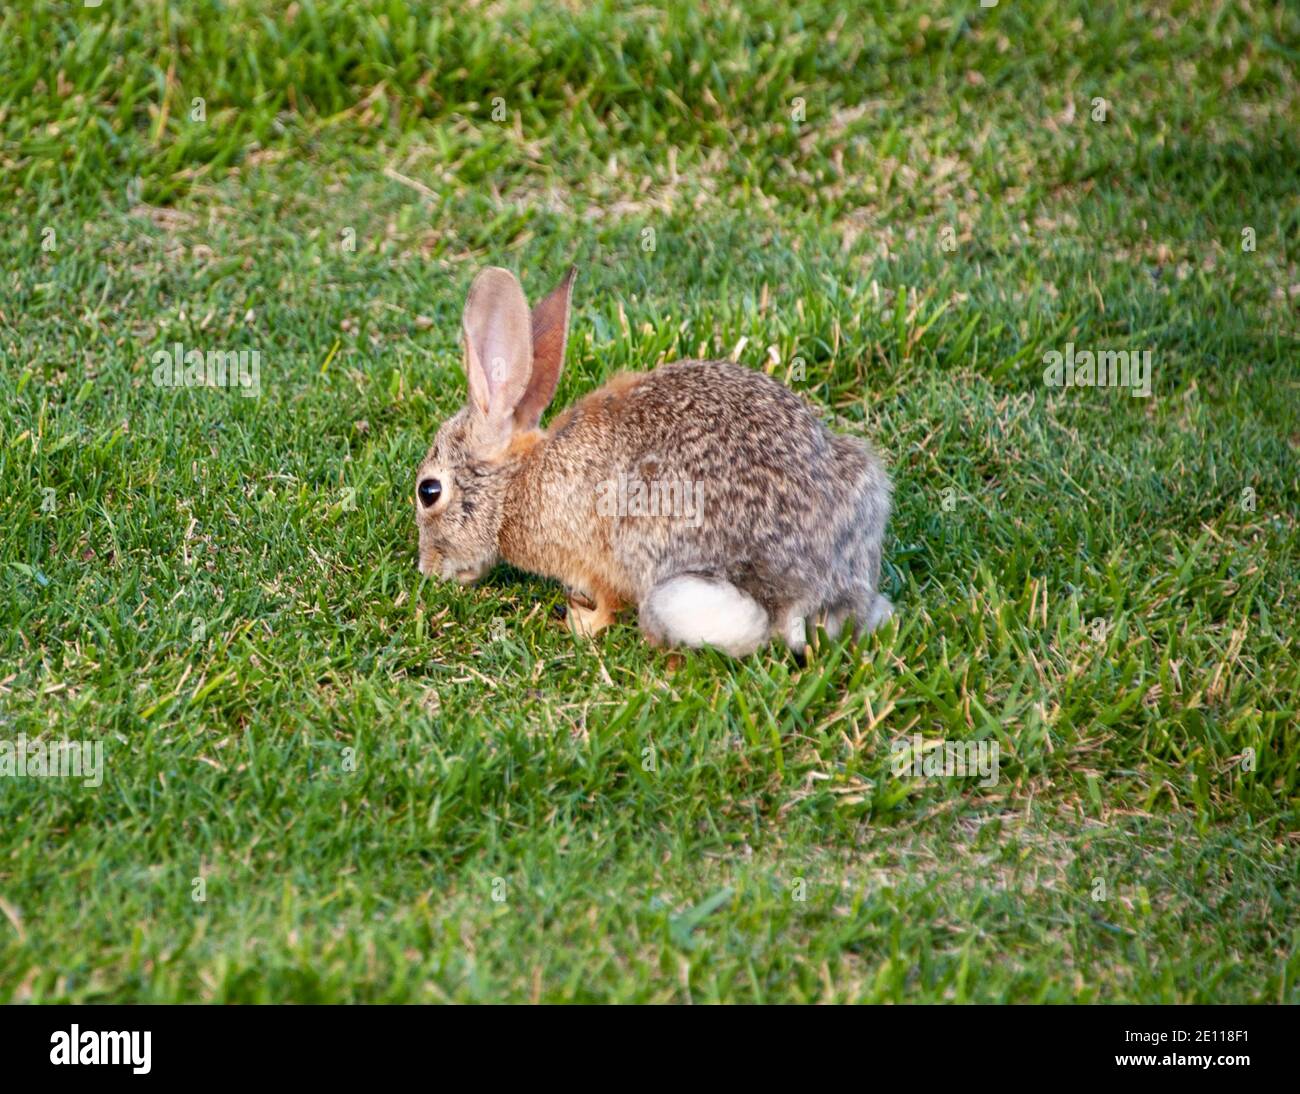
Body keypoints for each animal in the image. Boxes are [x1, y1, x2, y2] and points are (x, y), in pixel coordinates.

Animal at [414, 266, 893, 659]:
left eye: (429, 491)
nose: (427, 570)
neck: (512, 487)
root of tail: (816, 587)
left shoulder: (596, 561)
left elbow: (608, 602)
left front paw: (581, 622)